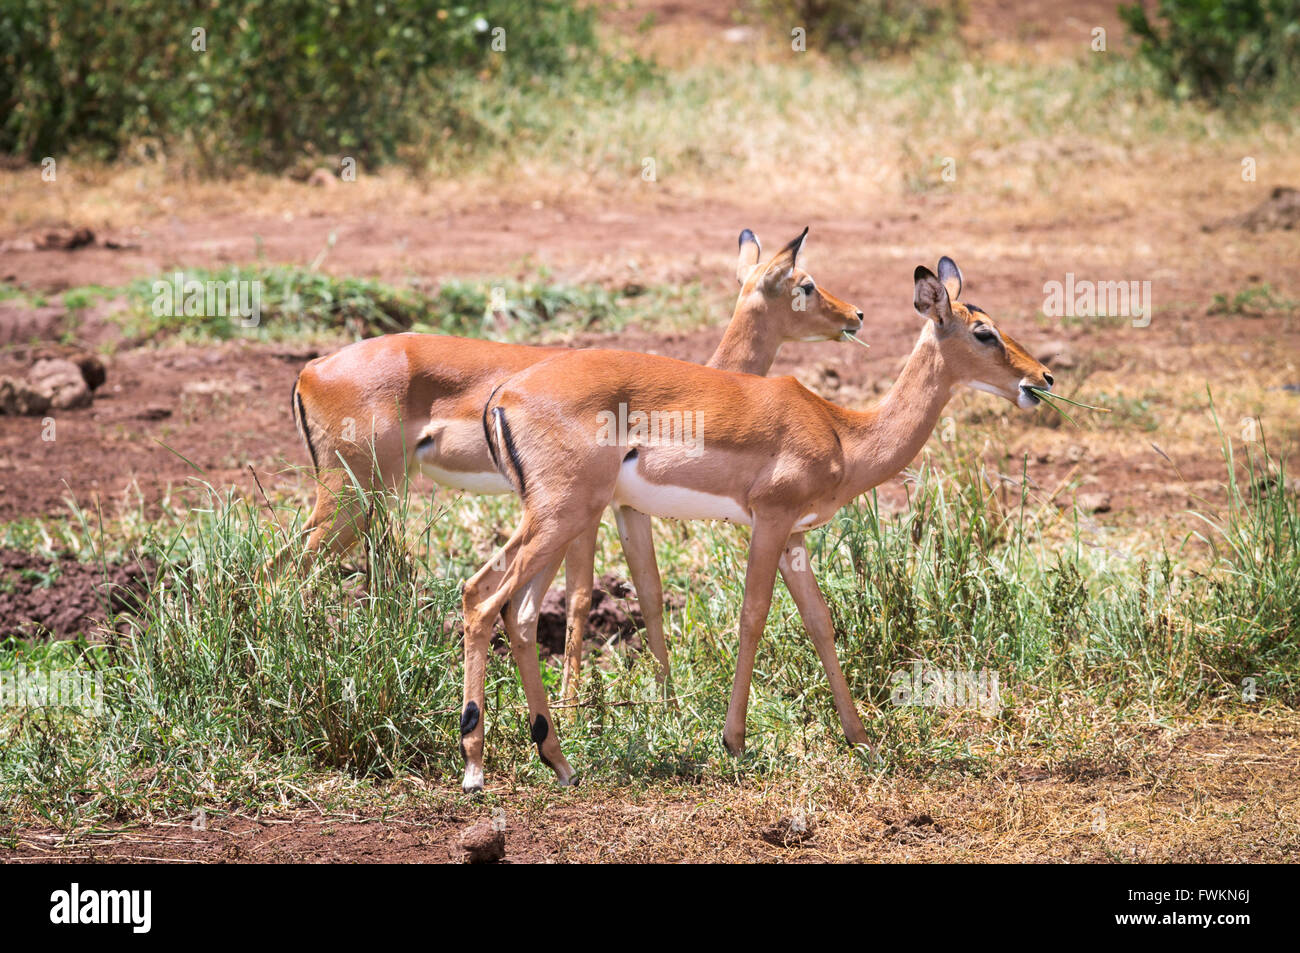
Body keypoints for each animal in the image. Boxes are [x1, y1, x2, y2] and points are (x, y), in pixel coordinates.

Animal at [275, 229, 863, 705]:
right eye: (805, 284)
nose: (855, 315)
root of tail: (312, 368)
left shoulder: (627, 510)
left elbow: (650, 594)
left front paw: (667, 702)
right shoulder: (592, 513)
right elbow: (579, 598)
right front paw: (572, 702)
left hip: (366, 497)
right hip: (356, 496)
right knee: (289, 570)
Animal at [458, 257, 1053, 791]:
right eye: (983, 332)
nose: (1042, 378)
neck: (843, 433)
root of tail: (505, 396)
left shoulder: (795, 538)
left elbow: (819, 622)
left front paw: (862, 740)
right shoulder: (770, 520)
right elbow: (753, 615)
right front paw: (735, 741)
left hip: (553, 519)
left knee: (510, 608)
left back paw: (557, 761)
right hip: (564, 515)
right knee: (486, 602)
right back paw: (476, 770)